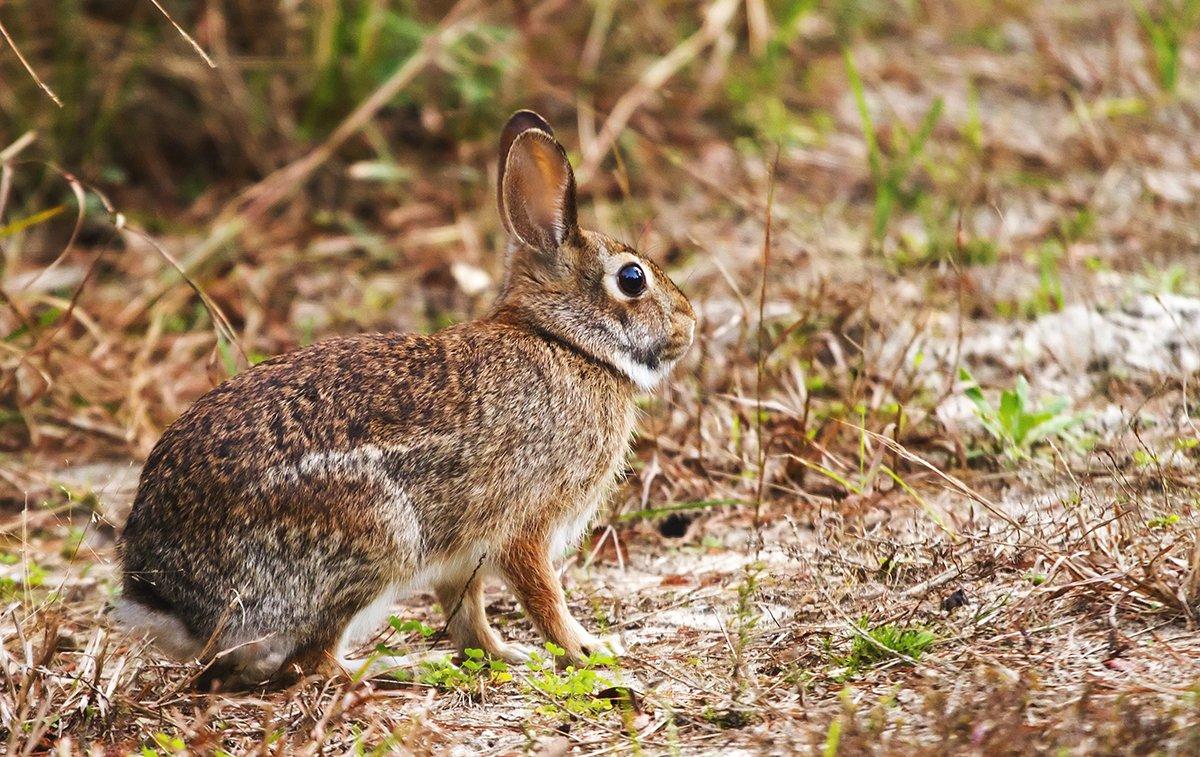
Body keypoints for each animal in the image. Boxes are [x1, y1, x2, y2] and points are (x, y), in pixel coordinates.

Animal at [115, 110, 696, 690]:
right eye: (632, 278)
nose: (689, 325)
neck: (565, 341)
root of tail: (167, 600)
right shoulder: (525, 523)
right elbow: (543, 596)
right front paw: (588, 650)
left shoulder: (462, 555)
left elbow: (467, 613)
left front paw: (505, 655)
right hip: (377, 540)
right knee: (312, 662)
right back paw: (393, 667)